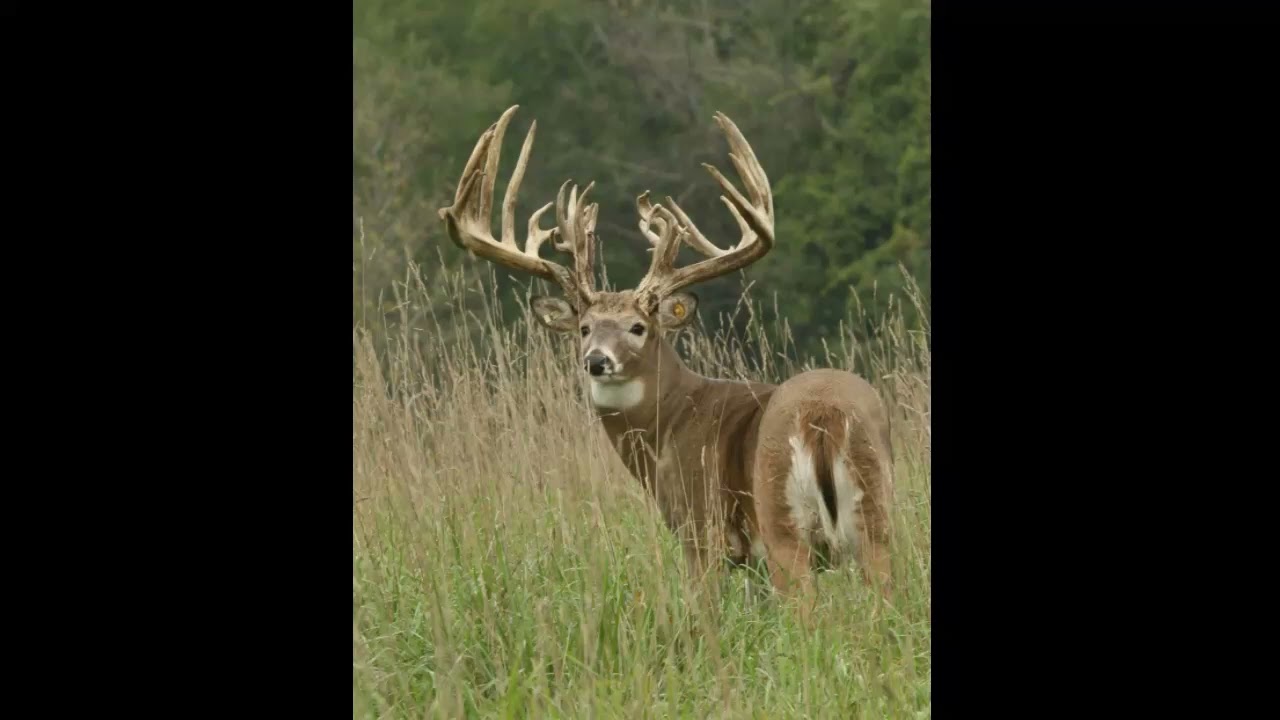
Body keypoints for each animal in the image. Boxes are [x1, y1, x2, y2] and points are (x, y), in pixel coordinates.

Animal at [437, 105, 895, 605]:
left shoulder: (700, 530)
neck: (671, 423)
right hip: (877, 514)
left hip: (782, 524)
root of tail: (821, 417)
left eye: (639, 327)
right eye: (584, 328)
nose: (596, 360)